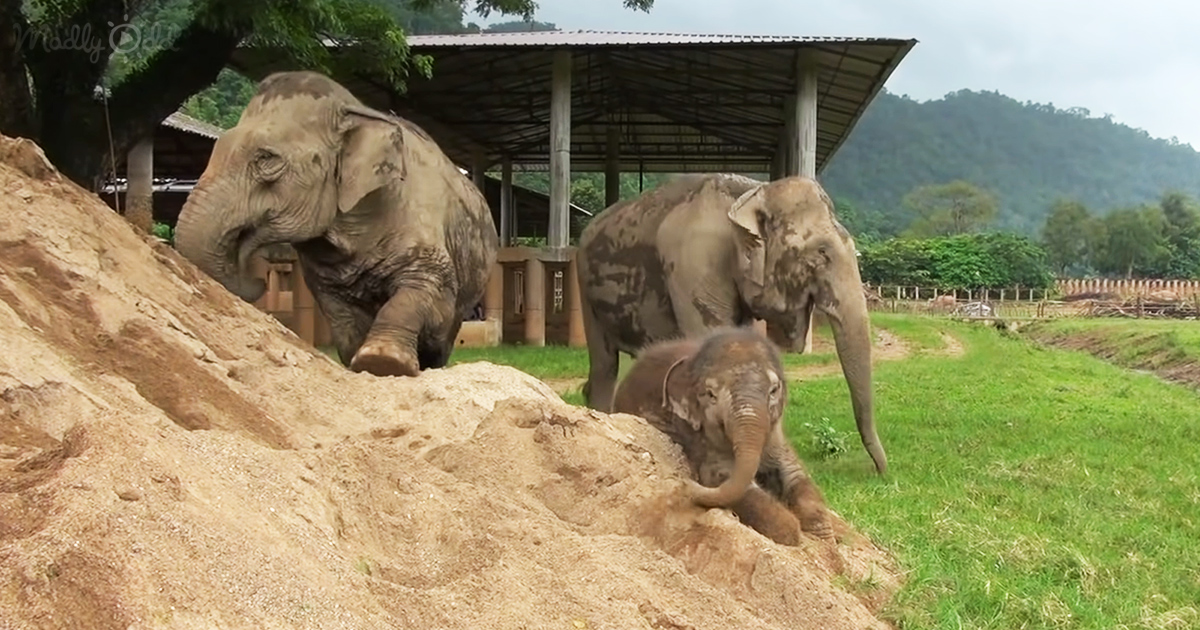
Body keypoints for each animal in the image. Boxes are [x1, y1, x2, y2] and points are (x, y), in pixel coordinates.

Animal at [174, 70, 498, 377]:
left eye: (266, 158)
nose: (260, 281)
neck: (356, 109)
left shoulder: (424, 223)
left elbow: (428, 298)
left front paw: (383, 362)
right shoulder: (326, 277)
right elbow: (342, 318)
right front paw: (361, 363)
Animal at [576, 173, 886, 474]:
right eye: (821, 253)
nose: (880, 471)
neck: (755, 191)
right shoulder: (695, 265)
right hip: (586, 291)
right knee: (605, 365)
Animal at [612, 326, 833, 543]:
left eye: (774, 389)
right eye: (711, 394)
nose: (686, 483)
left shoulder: (777, 436)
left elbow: (797, 474)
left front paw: (821, 531)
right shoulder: (698, 440)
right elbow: (725, 480)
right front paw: (794, 531)